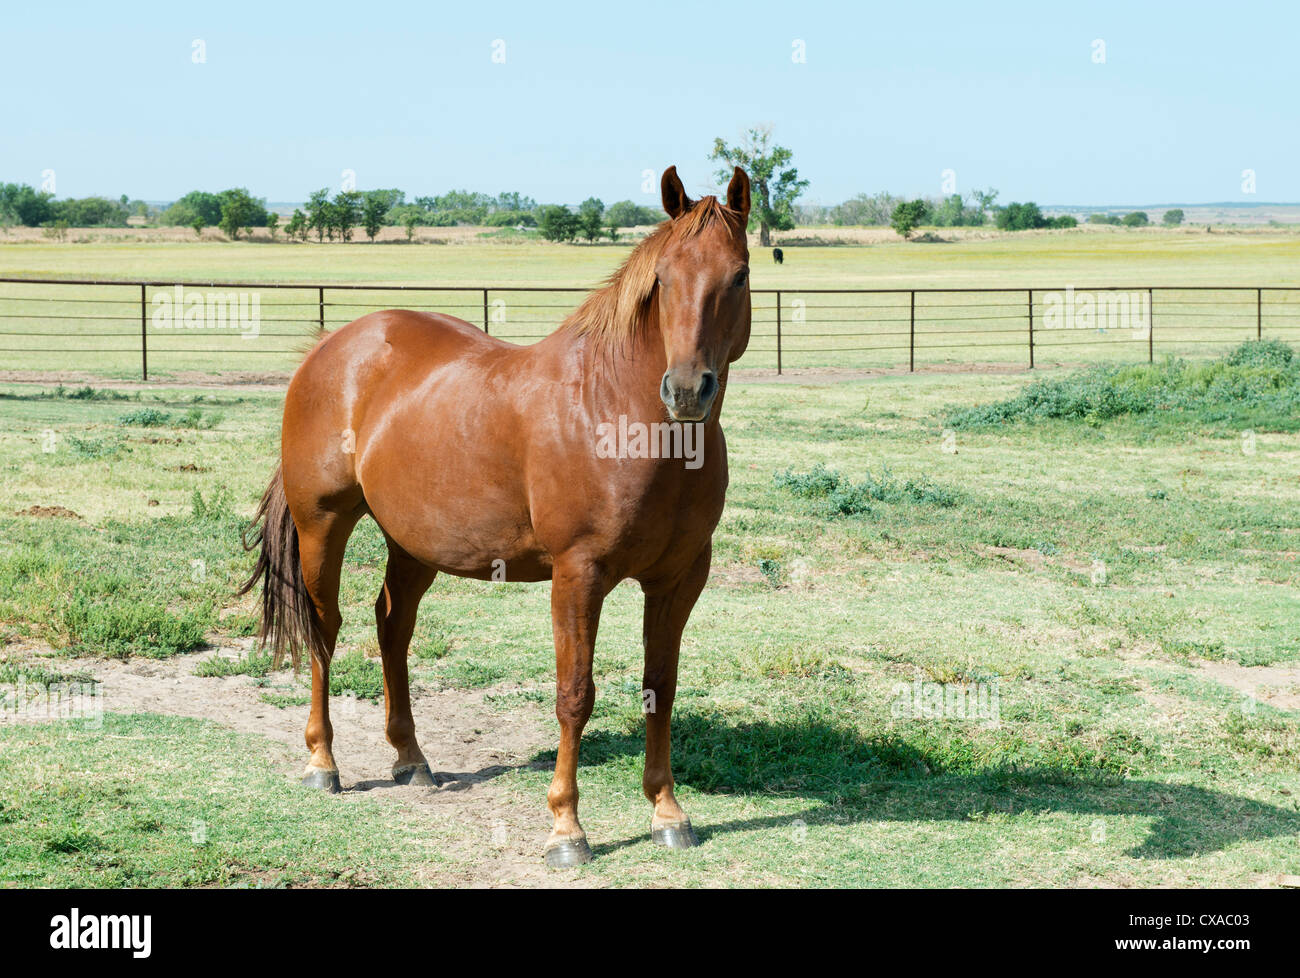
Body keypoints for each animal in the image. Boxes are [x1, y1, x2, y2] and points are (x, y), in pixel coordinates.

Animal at [240, 166, 752, 868]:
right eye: (664, 281)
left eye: (740, 276)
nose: (685, 390)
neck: (624, 417)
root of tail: (331, 348)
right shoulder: (579, 574)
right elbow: (575, 694)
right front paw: (567, 829)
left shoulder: (679, 579)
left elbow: (661, 687)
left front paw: (668, 812)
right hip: (324, 525)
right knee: (326, 628)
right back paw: (324, 763)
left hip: (413, 542)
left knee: (391, 627)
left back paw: (411, 759)